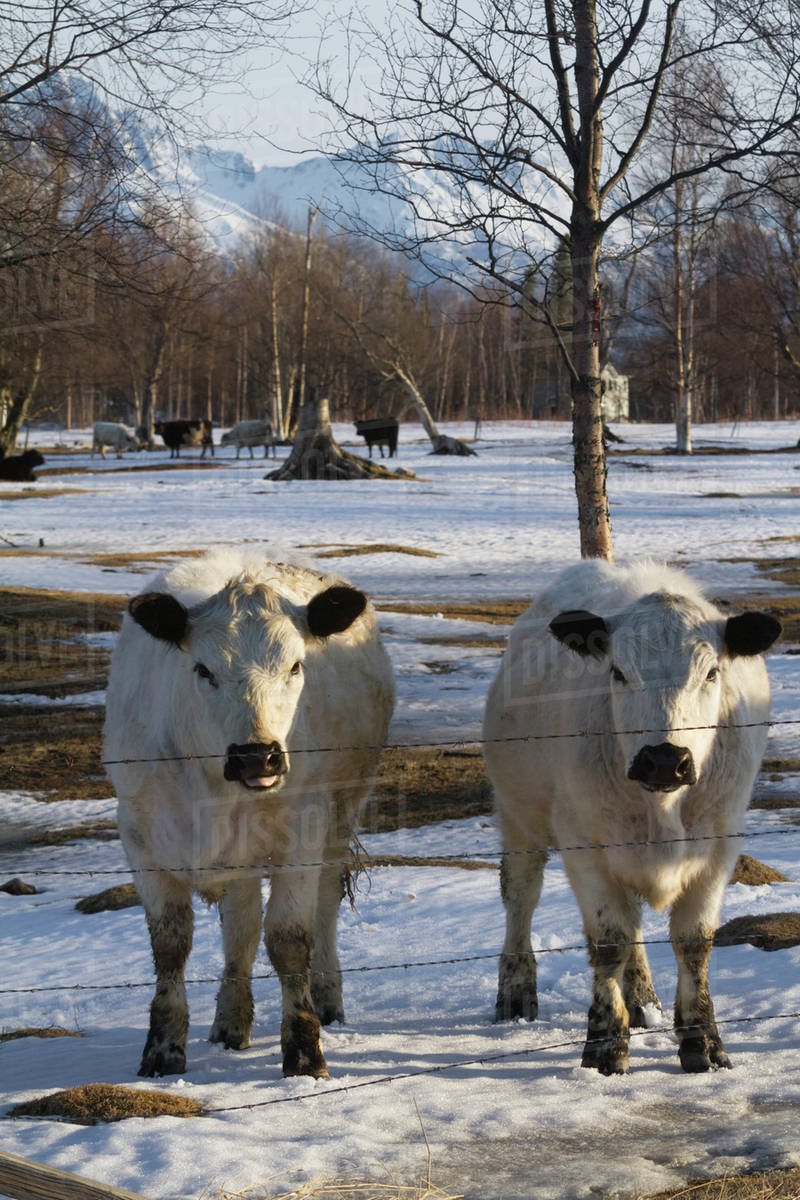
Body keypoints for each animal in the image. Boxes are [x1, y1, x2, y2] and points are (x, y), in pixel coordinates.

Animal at [103, 549, 395, 1080]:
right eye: (202, 670)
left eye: (296, 666)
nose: (257, 757)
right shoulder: (140, 838)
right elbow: (171, 943)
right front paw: (162, 1050)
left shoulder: (302, 834)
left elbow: (289, 940)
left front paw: (303, 1052)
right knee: (240, 924)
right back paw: (230, 1022)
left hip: (342, 813)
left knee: (323, 906)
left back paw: (326, 998)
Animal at [483, 559, 781, 1077]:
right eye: (618, 672)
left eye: (712, 672)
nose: (664, 760)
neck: (663, 811)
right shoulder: (585, 845)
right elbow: (609, 942)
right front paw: (605, 1046)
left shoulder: (720, 844)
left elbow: (693, 942)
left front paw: (703, 1042)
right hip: (520, 814)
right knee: (521, 896)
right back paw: (517, 992)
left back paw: (643, 999)